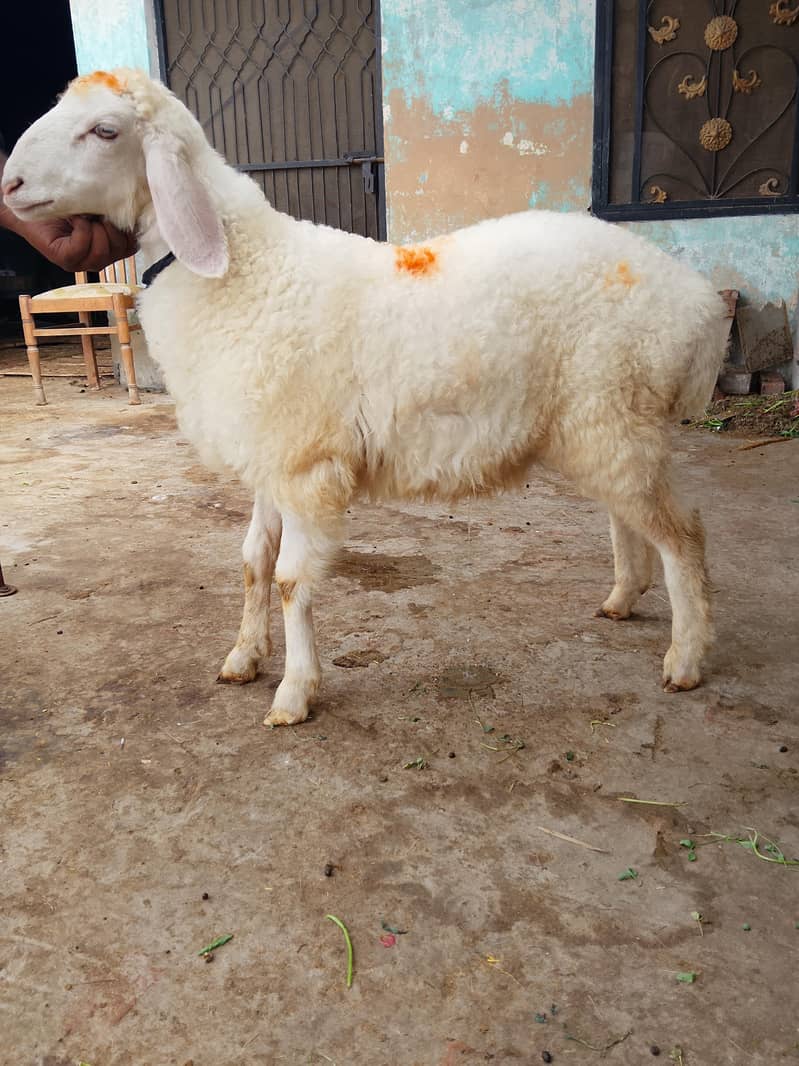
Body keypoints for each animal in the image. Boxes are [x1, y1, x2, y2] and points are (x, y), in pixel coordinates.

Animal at [2, 69, 729, 727]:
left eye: (105, 131)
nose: (9, 186)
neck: (245, 273)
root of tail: (696, 301)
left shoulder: (305, 466)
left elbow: (290, 579)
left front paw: (294, 694)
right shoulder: (270, 457)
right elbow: (252, 561)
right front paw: (243, 657)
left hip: (618, 416)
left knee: (683, 532)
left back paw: (686, 659)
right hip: (600, 425)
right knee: (629, 517)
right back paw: (622, 598)